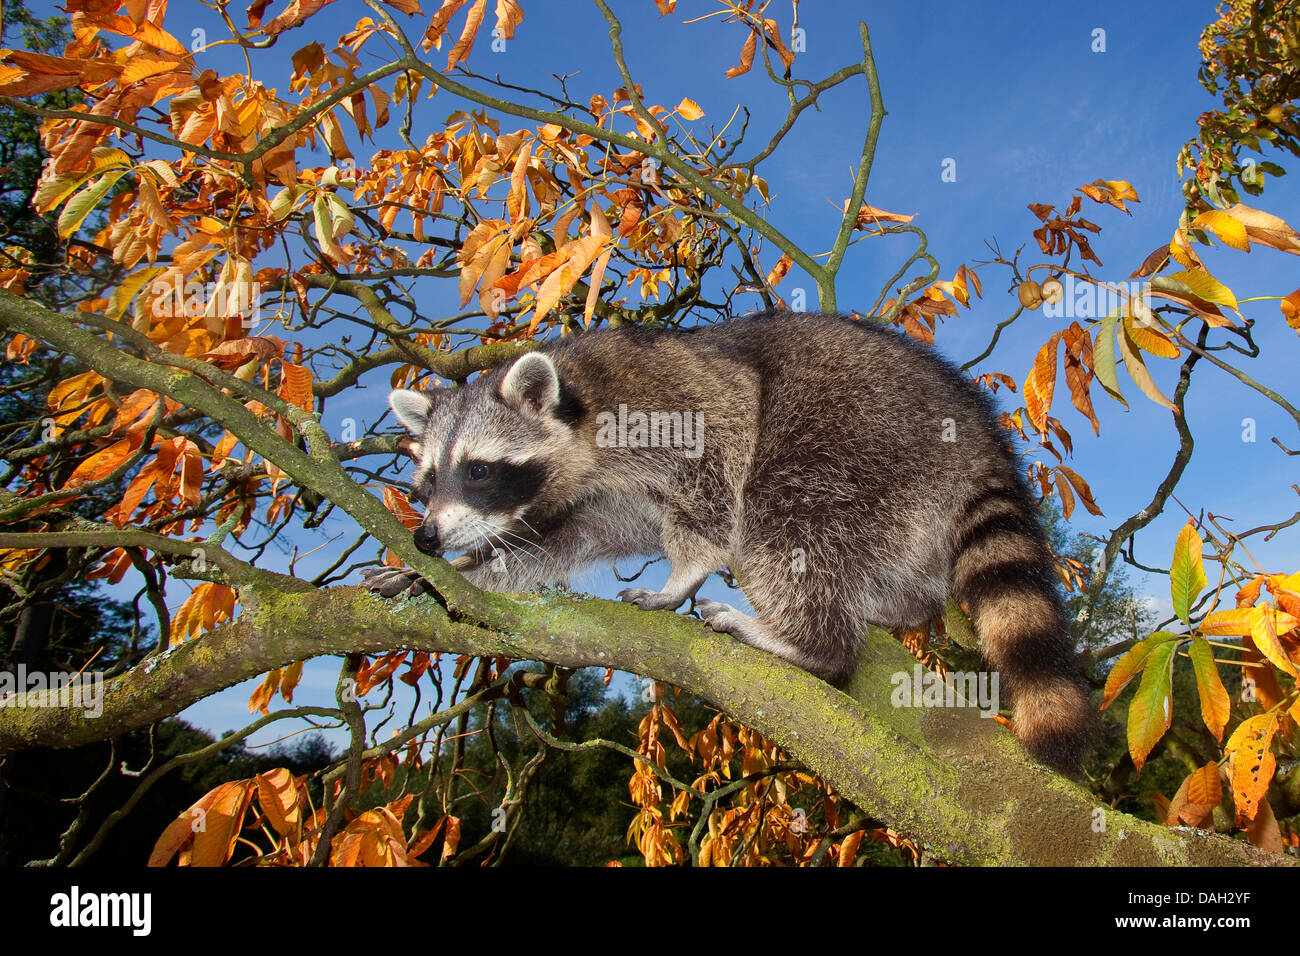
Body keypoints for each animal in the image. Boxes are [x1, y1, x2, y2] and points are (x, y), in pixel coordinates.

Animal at [362, 311, 1092, 769]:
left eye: (479, 470)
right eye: (426, 481)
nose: (426, 537)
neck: (580, 421)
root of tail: (976, 434)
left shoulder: (672, 400)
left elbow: (721, 461)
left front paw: (686, 571)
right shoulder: (601, 497)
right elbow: (559, 540)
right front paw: (453, 572)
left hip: (858, 433)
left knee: (783, 510)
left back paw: (808, 641)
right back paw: (896, 605)